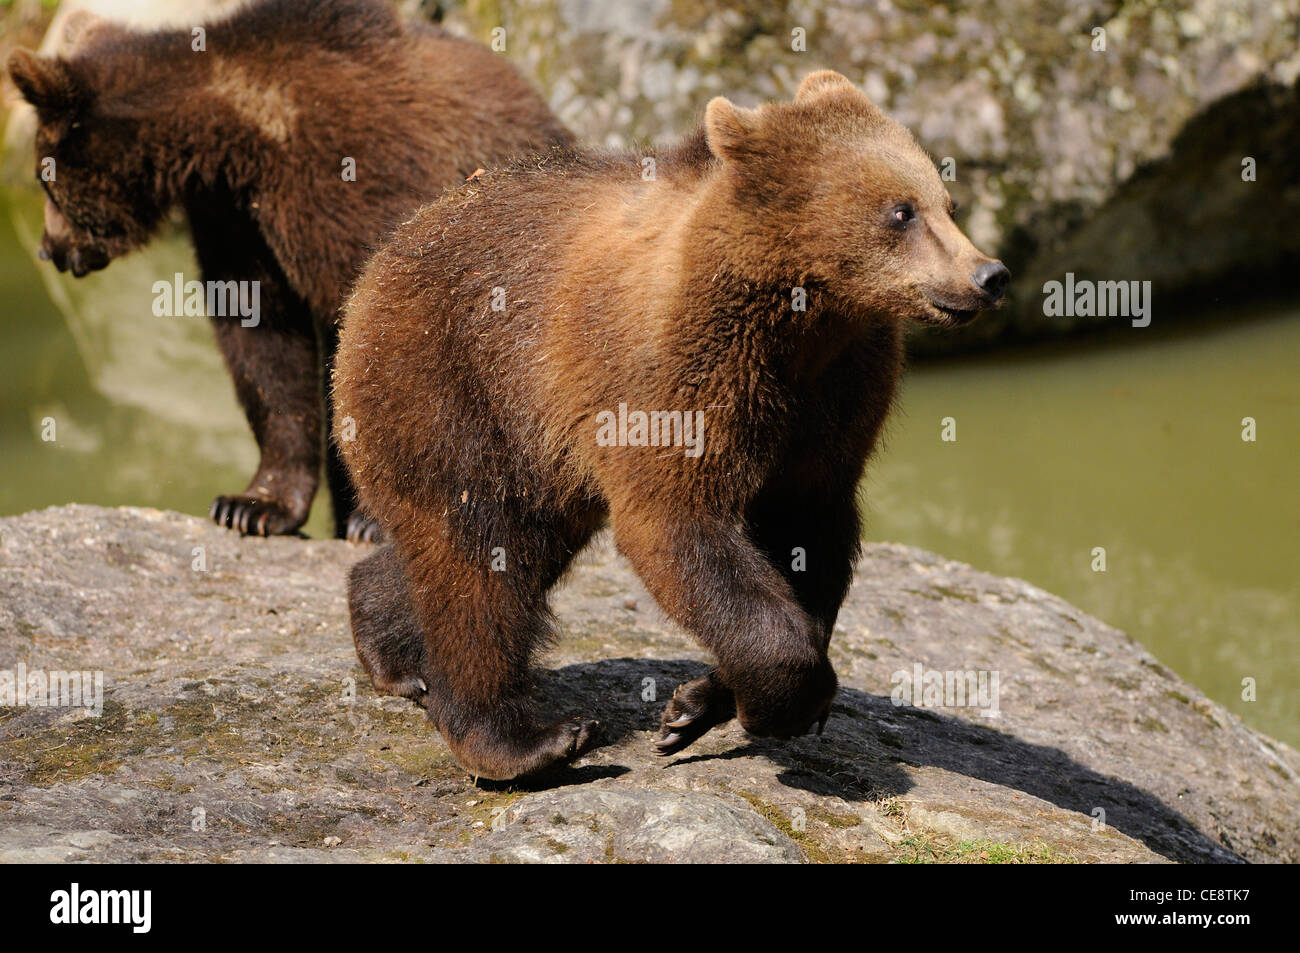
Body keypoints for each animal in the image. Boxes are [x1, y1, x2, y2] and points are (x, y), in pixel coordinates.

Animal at [6, 0, 572, 541]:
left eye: (44, 178)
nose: (50, 249)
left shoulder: (360, 188)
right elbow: (266, 349)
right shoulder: (237, 221)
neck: (240, 140)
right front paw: (254, 505)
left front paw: (374, 520)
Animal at [332, 70, 1010, 780]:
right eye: (902, 211)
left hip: (538, 447)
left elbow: (809, 527)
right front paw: (772, 699)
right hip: (452, 379)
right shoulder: (680, 367)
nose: (989, 274)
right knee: (478, 549)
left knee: (512, 539)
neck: (802, 320)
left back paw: (392, 649)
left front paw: (700, 702)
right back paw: (523, 738)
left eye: (949, 202)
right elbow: (676, 517)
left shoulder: (837, 391)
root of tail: (393, 245)